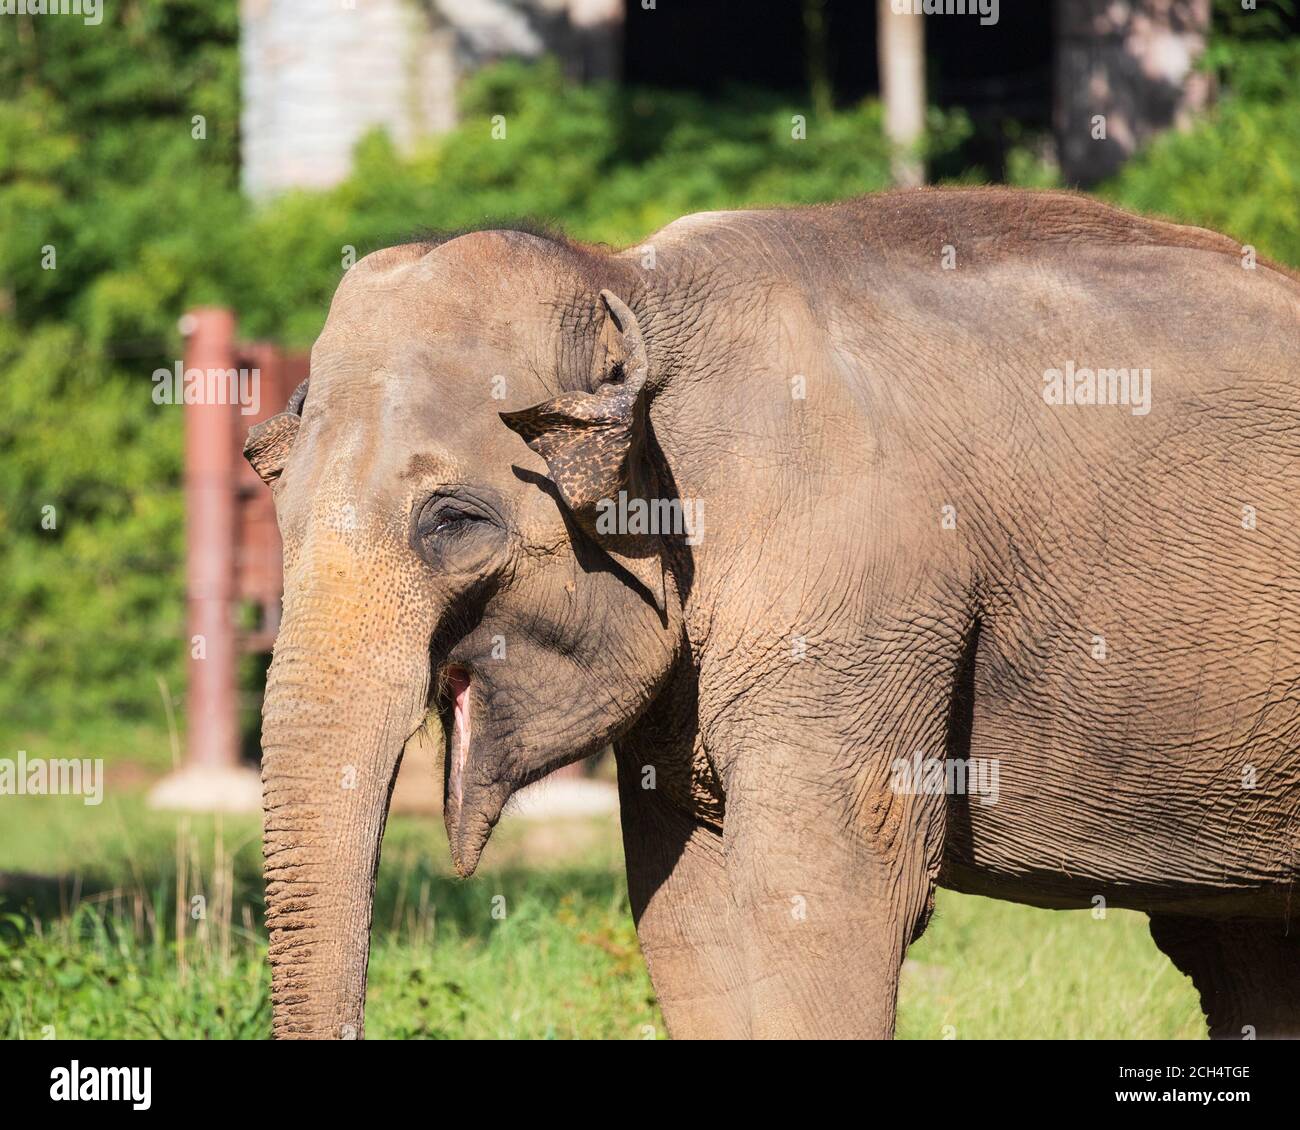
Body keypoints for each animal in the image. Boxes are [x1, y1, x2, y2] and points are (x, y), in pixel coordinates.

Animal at [244, 187, 1300, 1040]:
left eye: (452, 521)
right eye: (279, 511)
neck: (631, 287)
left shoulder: (859, 591)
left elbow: (828, 903)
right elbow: (687, 918)